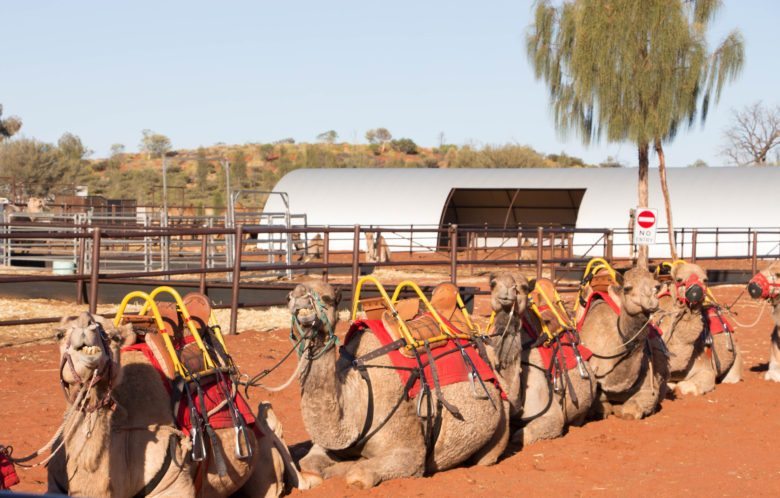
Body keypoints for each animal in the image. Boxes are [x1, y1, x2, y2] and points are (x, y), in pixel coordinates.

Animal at [288, 281, 508, 489]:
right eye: (290, 296)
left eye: (328, 298)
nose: (299, 296)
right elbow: (307, 462)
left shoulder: (408, 448)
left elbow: (358, 475)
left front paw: (349, 465)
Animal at [578, 268, 669, 420]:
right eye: (627, 288)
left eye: (656, 286)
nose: (651, 301)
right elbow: (599, 405)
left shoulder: (650, 385)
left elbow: (632, 409)